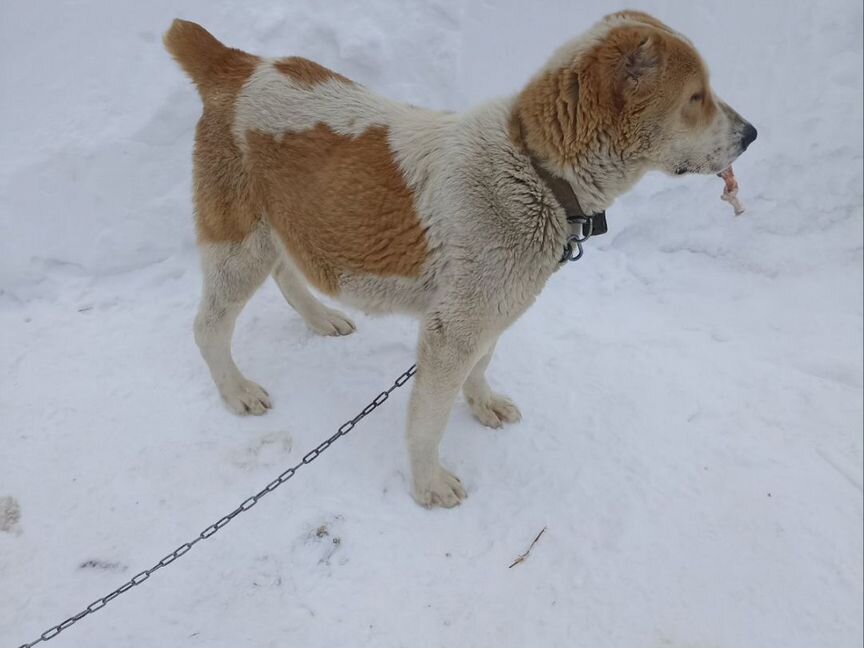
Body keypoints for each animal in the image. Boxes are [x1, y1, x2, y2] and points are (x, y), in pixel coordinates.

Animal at [164, 8, 756, 506]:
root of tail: (234, 64)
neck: (536, 170)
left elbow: (483, 362)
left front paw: (483, 402)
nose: (751, 134)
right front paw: (428, 483)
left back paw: (322, 318)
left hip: (280, 226)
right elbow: (428, 419)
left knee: (287, 270)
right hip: (239, 244)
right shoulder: (452, 330)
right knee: (207, 327)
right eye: (696, 97)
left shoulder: (493, 310)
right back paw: (236, 391)